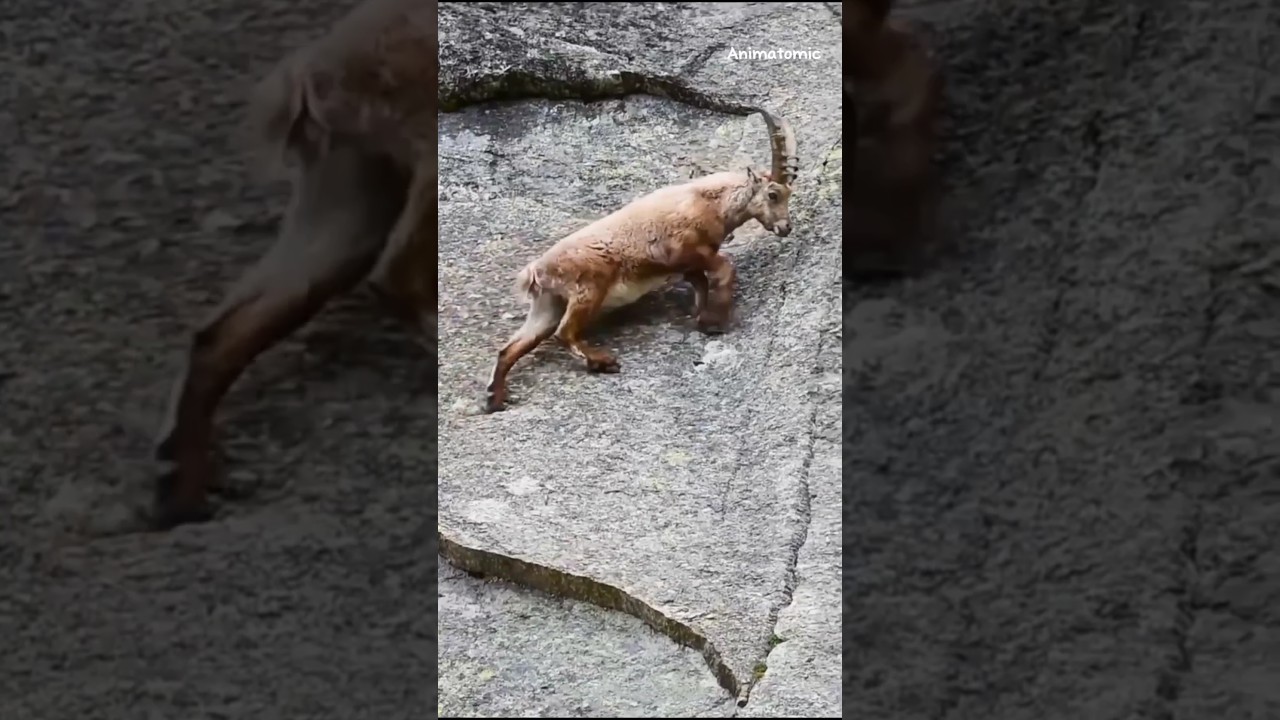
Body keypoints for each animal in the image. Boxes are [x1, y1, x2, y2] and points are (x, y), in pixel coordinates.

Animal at [151, 0, 437, 529]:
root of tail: (314, 70)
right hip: (411, 135)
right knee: (392, 273)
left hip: (349, 186)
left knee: (225, 331)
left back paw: (181, 489)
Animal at [483, 111, 799, 414]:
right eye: (773, 194)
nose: (786, 227)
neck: (712, 203)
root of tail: (535, 271)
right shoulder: (689, 251)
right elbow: (724, 269)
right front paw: (716, 321)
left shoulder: (686, 265)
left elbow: (700, 284)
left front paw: (702, 317)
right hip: (589, 289)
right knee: (564, 332)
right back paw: (603, 362)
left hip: (547, 306)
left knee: (509, 349)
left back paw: (494, 399)